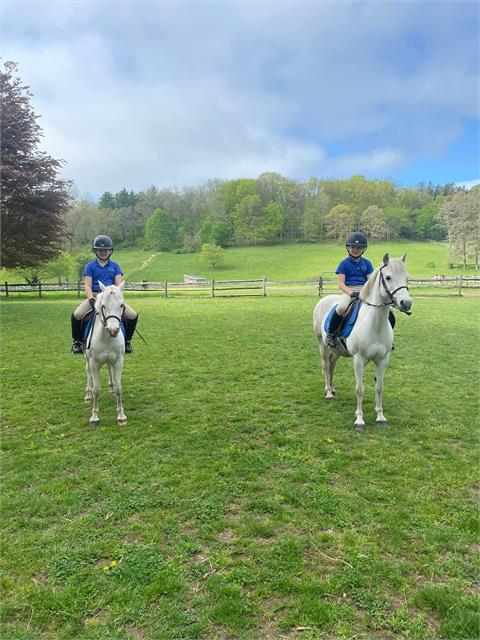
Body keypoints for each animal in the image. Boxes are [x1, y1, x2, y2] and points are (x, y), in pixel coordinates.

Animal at [84, 281, 127, 426]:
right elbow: (96, 390)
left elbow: (119, 388)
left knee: (109, 368)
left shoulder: (118, 361)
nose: (113, 330)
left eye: (121, 305)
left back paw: (111, 387)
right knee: (88, 373)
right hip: (87, 359)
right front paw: (94, 417)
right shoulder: (94, 363)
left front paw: (121, 416)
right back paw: (87, 395)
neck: (107, 338)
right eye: (103, 306)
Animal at [313, 254, 412, 430]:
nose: (406, 303)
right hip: (322, 346)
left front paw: (380, 416)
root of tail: (324, 300)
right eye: (388, 277)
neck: (375, 324)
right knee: (325, 366)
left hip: (337, 350)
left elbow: (379, 387)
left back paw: (333, 388)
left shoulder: (382, 359)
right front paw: (359, 420)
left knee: (332, 365)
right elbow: (359, 389)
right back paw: (328, 392)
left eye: (406, 278)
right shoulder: (358, 359)